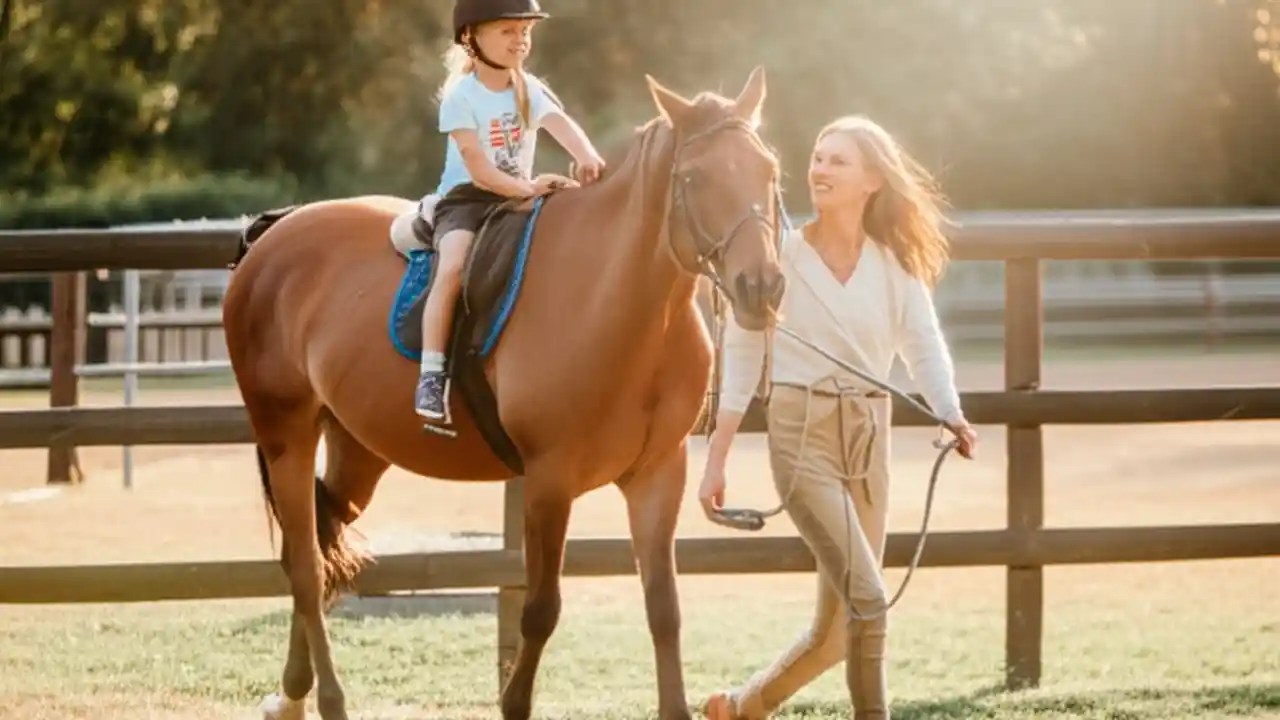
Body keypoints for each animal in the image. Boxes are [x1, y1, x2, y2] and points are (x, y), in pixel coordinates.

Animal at [222, 67, 786, 720]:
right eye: (695, 178)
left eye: (769, 170)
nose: (762, 286)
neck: (617, 300)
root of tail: (274, 234)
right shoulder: (548, 482)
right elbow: (540, 611)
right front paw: (515, 700)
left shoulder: (657, 476)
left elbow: (663, 609)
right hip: (285, 433)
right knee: (307, 569)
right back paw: (329, 699)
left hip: (355, 449)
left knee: (316, 542)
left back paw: (292, 693)